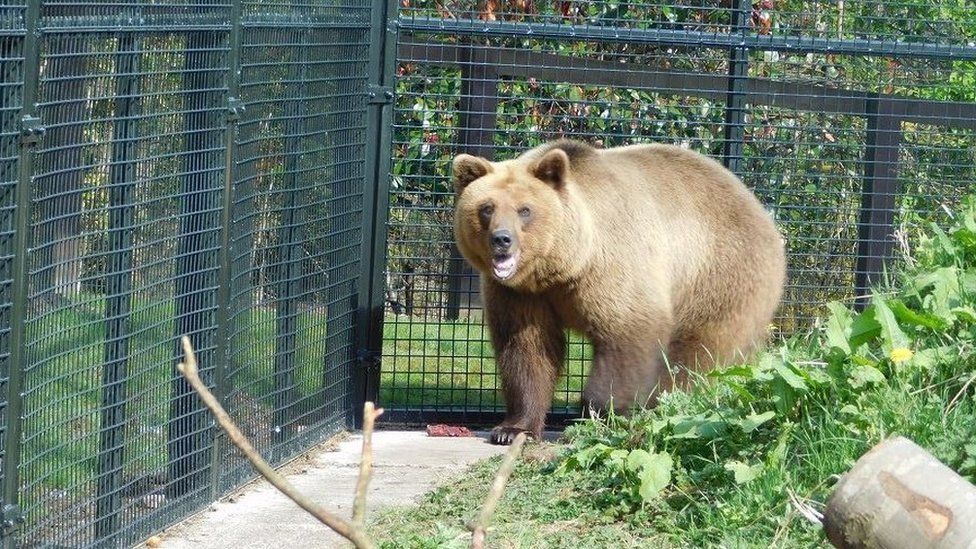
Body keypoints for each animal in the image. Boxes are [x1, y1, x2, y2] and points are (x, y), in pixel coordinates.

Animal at [452, 139, 786, 445]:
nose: (502, 239)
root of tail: (757, 206)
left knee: (699, 352)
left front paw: (600, 414)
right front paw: (512, 429)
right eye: (486, 208)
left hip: (716, 274)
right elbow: (527, 350)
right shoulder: (520, 294)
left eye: (525, 210)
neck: (563, 266)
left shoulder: (612, 269)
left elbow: (625, 339)